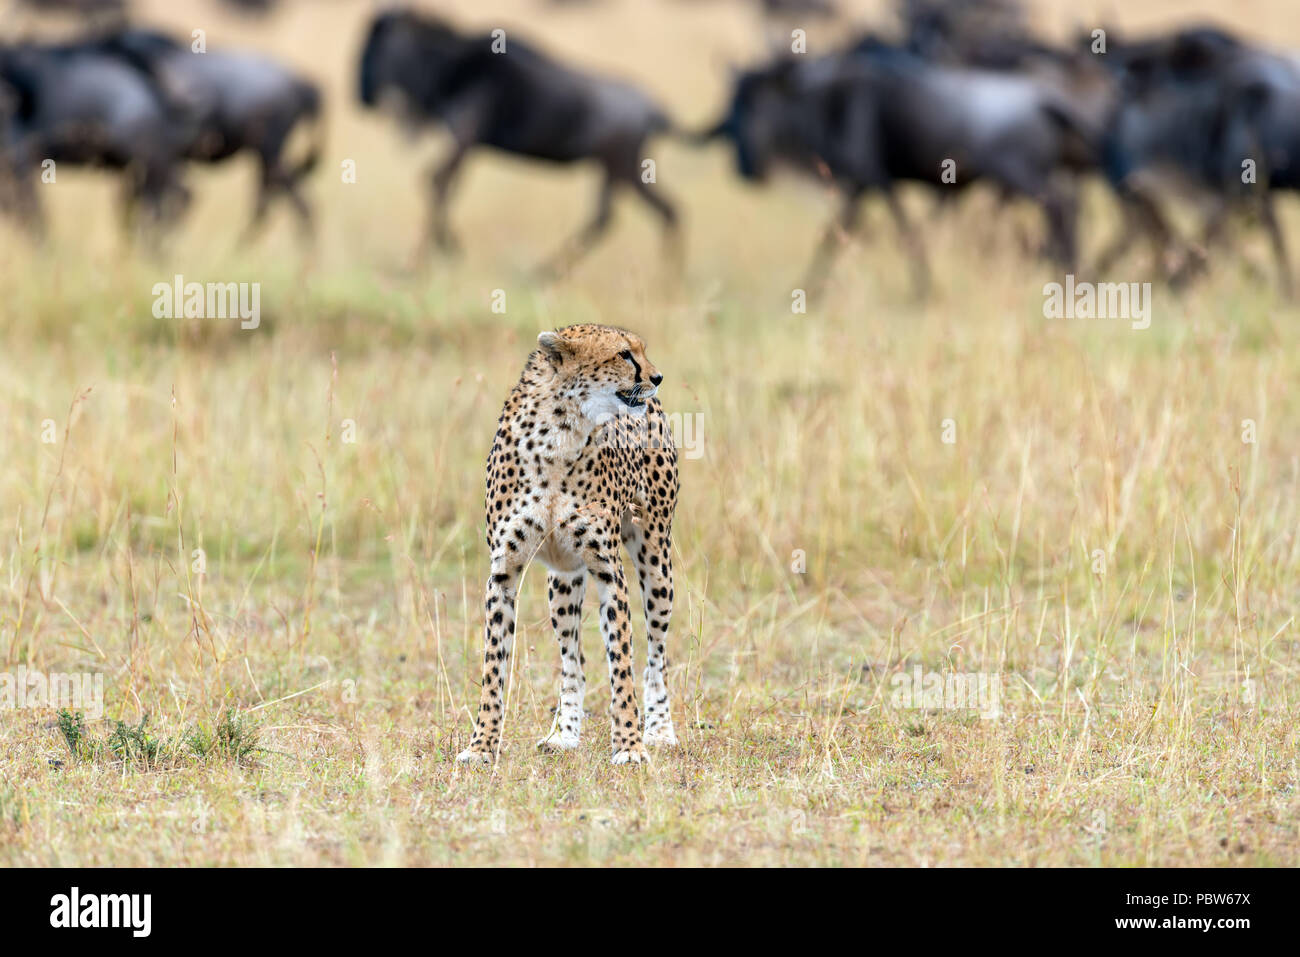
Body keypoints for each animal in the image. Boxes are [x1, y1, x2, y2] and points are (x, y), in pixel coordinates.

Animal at [456, 323, 680, 766]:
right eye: (624, 354)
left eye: (640, 351)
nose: (657, 377)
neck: (560, 433)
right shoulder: (503, 574)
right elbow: (494, 668)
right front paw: (482, 746)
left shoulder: (610, 573)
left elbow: (623, 666)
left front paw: (630, 746)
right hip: (562, 581)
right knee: (573, 659)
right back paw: (564, 734)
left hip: (656, 559)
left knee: (655, 654)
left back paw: (660, 730)